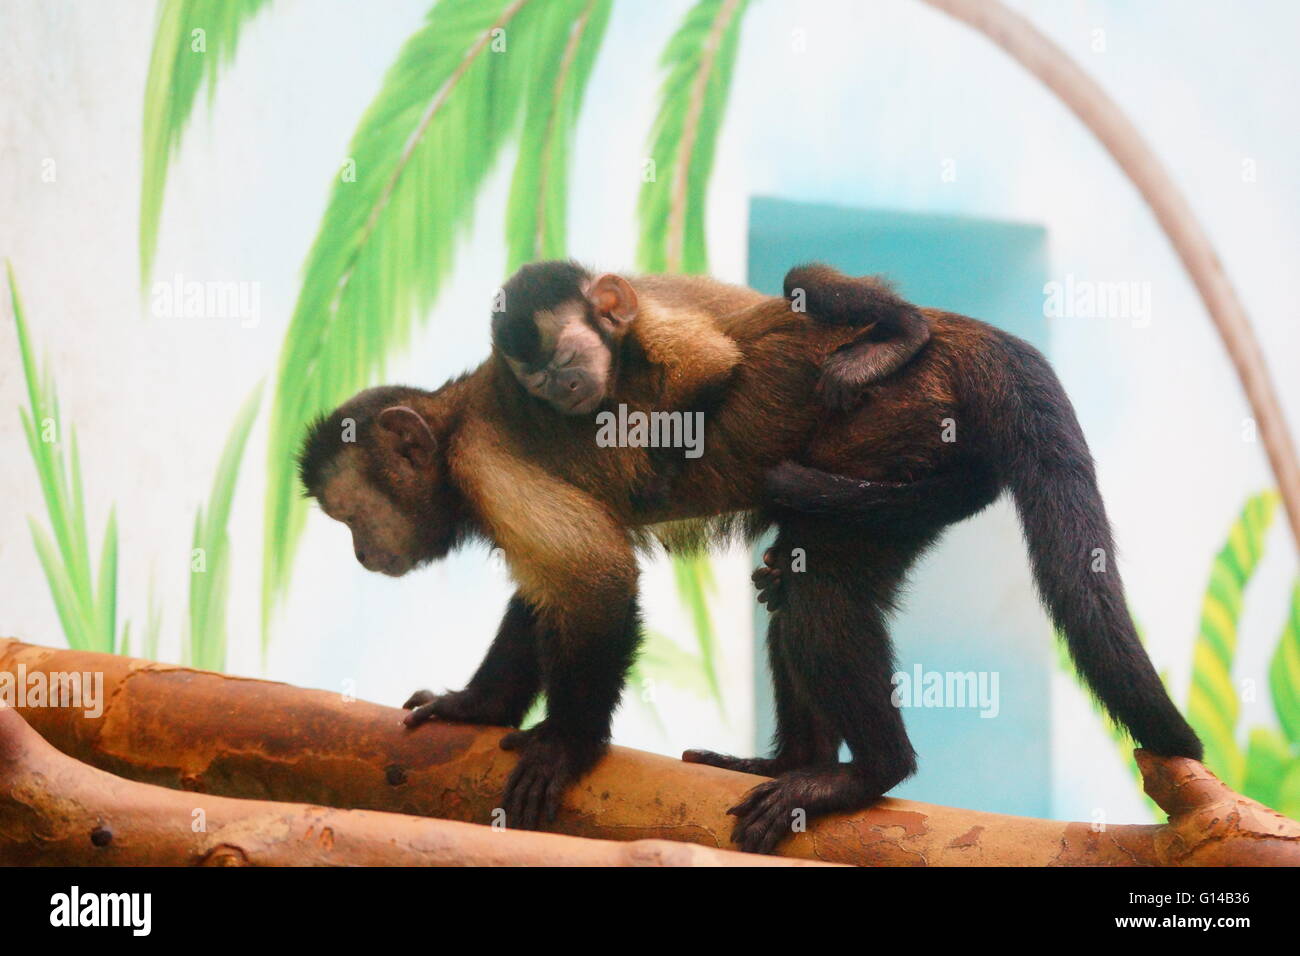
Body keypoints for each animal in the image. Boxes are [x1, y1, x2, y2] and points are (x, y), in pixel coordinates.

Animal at [299, 269, 1201, 854]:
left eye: (350, 517)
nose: (362, 552)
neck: (455, 424)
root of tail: (952, 328)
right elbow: (547, 595)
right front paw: (476, 706)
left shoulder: (489, 465)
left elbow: (596, 581)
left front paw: (567, 745)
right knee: (794, 579)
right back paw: (793, 761)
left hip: (894, 412)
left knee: (816, 589)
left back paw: (867, 772)